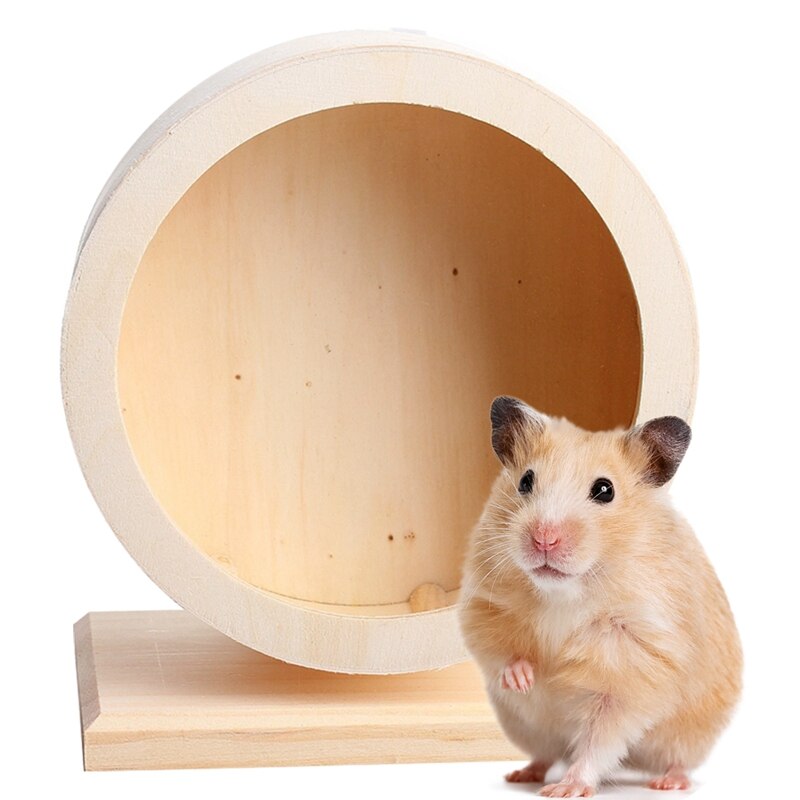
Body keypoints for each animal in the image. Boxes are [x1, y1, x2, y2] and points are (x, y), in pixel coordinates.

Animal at [459, 397, 742, 797]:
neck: (564, 592)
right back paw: (521, 774)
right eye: (526, 481)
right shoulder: (483, 604)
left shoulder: (631, 670)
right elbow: (499, 650)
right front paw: (524, 679)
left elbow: (599, 739)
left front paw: (566, 789)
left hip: (690, 734)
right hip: (525, 728)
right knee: (545, 754)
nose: (544, 539)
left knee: (675, 759)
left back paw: (668, 782)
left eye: (605, 490)